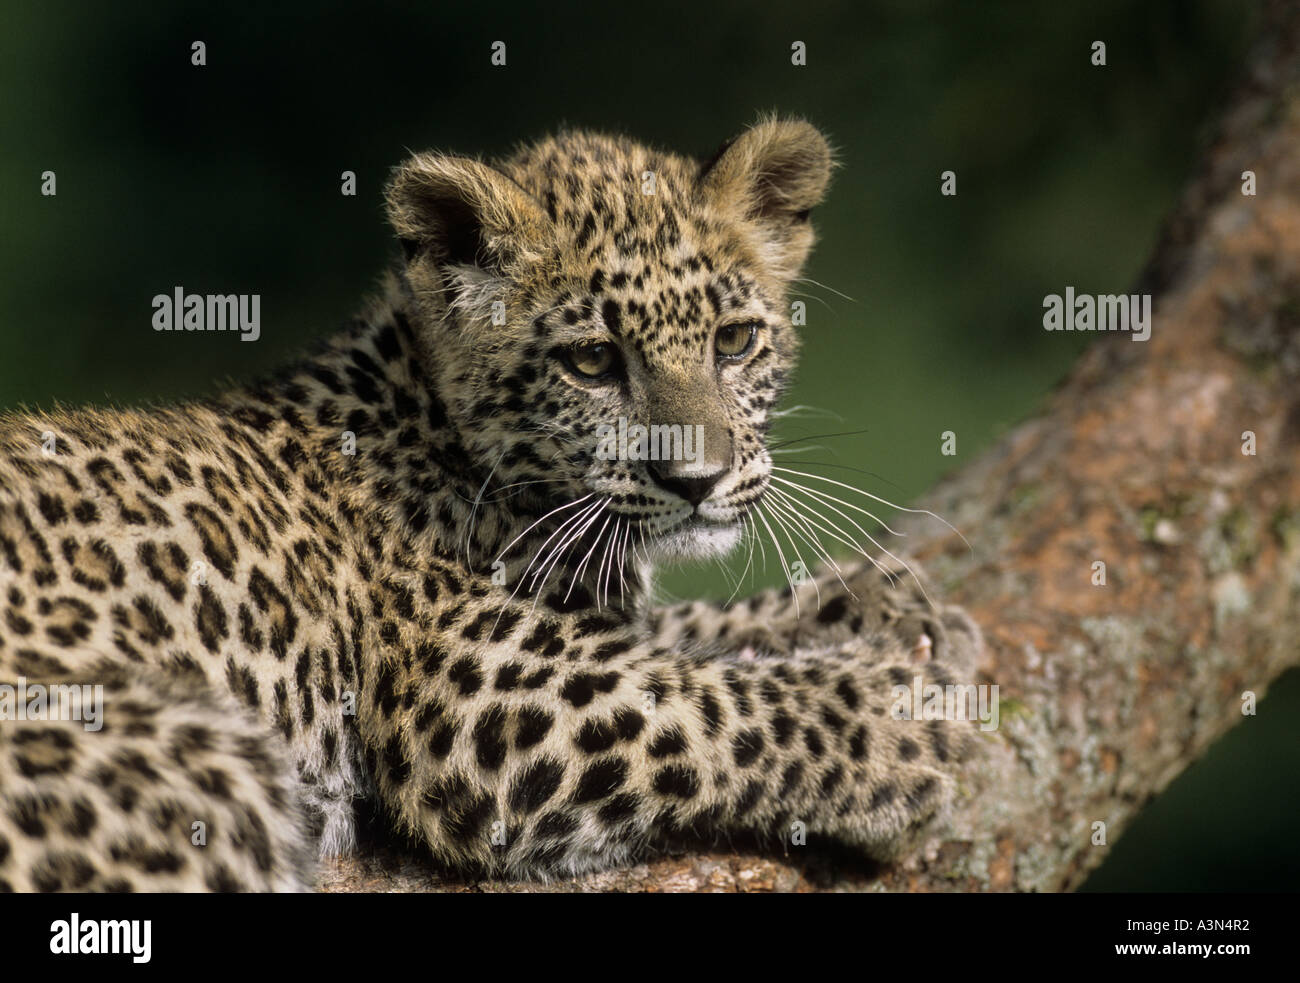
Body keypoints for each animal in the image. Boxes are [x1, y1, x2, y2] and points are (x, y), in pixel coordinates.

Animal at [0, 117, 981, 892]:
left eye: (735, 341)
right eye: (592, 362)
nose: (696, 481)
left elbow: (691, 634)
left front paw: (892, 603)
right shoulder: (474, 676)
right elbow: (710, 700)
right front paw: (897, 728)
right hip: (189, 754)